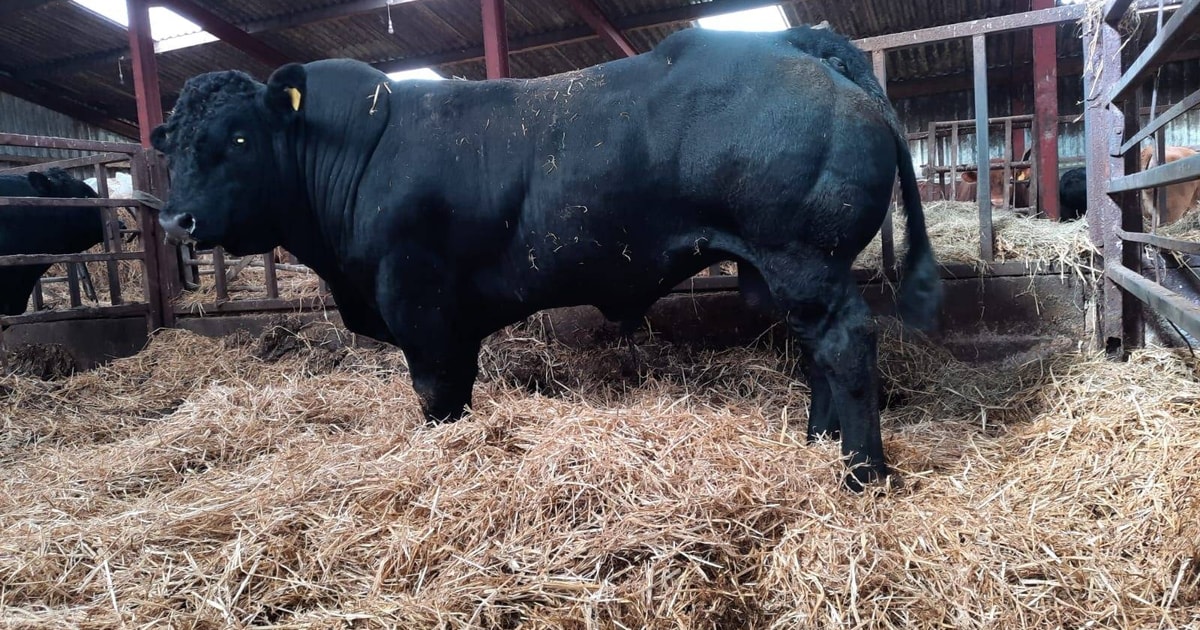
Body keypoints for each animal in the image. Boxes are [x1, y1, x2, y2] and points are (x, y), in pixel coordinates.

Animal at [150, 25, 941, 489]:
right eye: (177, 141)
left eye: (241, 136)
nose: (175, 218)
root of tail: (794, 40)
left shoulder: (421, 303)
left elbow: (440, 397)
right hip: (790, 269)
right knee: (818, 350)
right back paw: (817, 443)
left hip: (804, 258)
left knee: (845, 343)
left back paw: (862, 473)